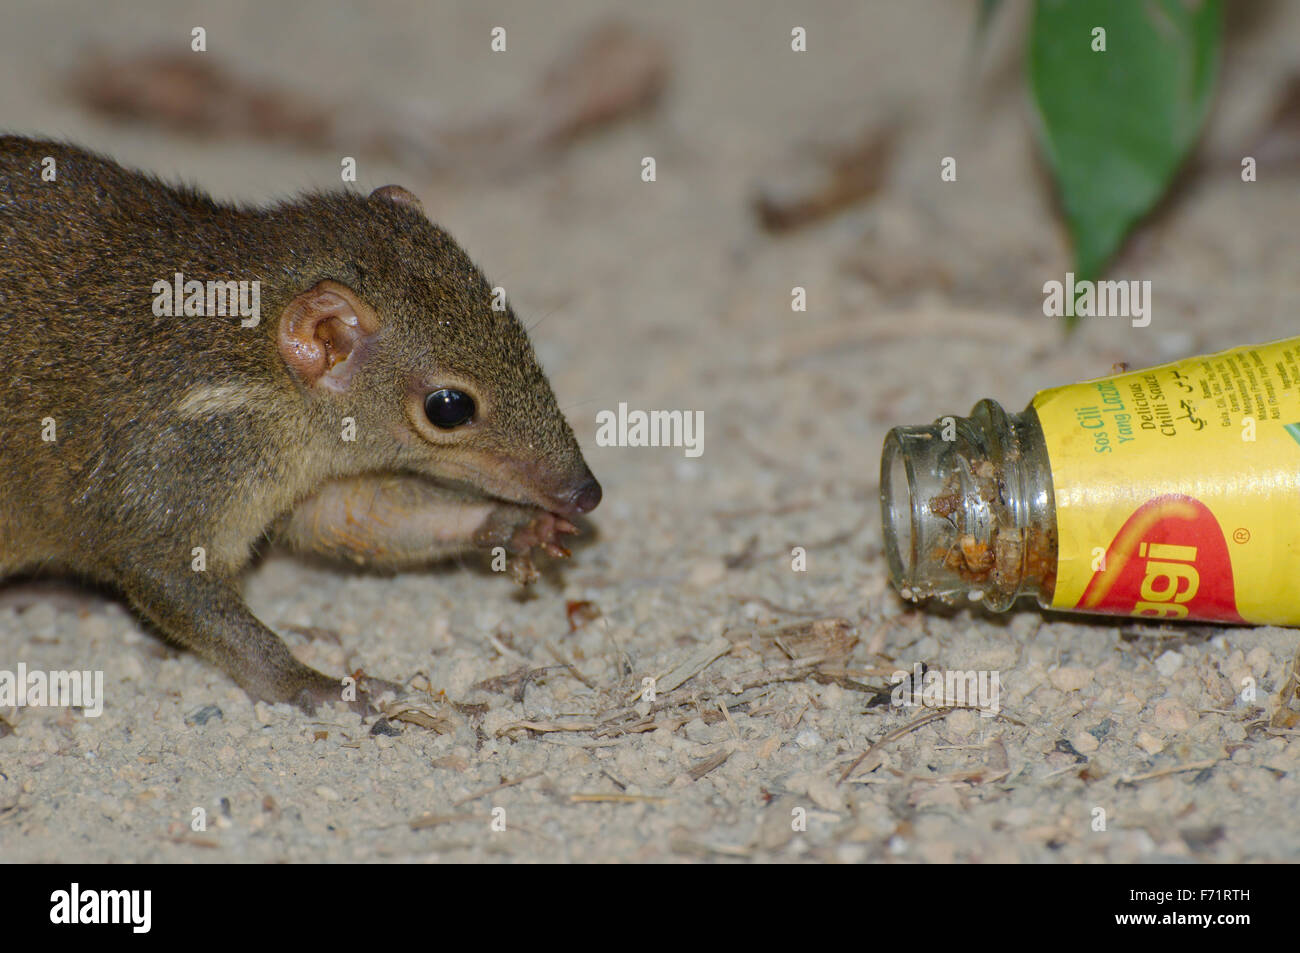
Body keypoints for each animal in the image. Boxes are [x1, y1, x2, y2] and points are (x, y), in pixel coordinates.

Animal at [0, 136, 601, 712]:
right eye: (449, 407)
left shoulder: (310, 485)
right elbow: (200, 604)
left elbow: (361, 516)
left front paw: (517, 525)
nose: (587, 493)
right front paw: (315, 685)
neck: (256, 368)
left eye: (519, 334)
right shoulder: (175, 478)